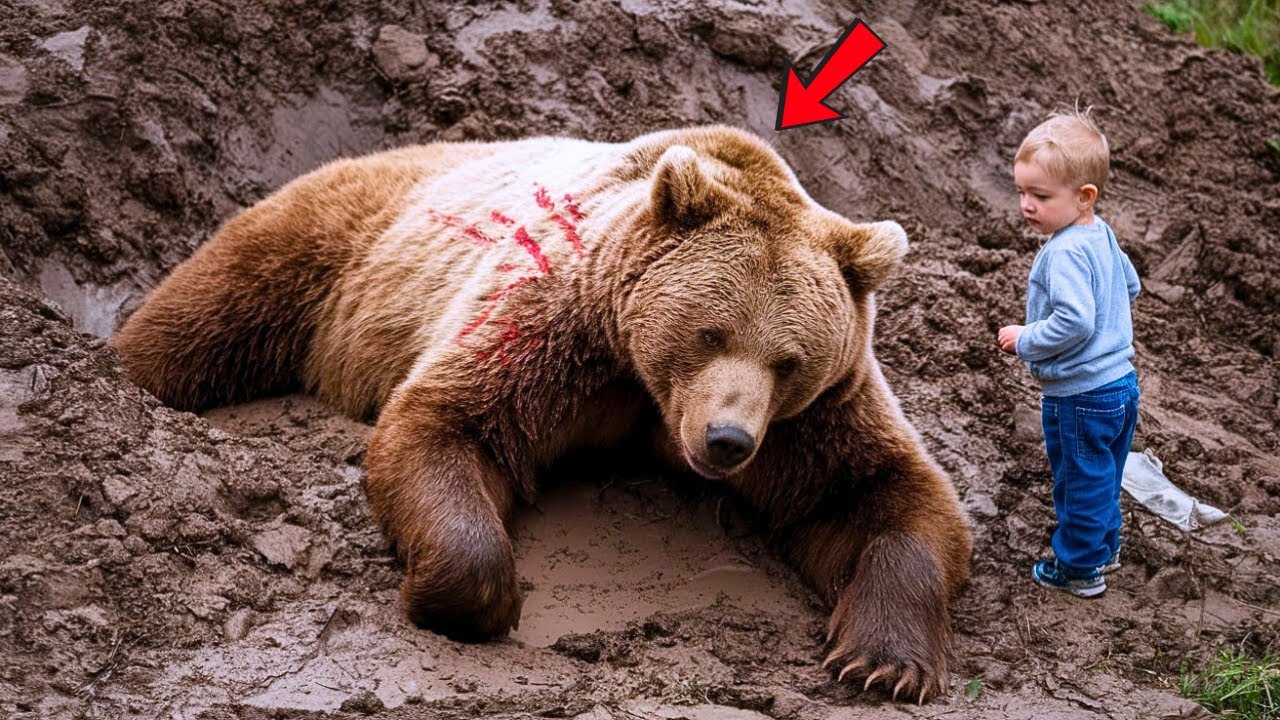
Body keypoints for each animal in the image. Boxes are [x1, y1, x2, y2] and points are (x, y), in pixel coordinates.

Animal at [113, 125, 972, 702]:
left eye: (788, 360)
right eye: (712, 331)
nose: (727, 440)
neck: (645, 382)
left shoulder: (814, 418)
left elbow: (877, 492)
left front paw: (883, 663)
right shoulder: (557, 324)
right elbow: (452, 421)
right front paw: (464, 597)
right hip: (339, 245)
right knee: (205, 314)